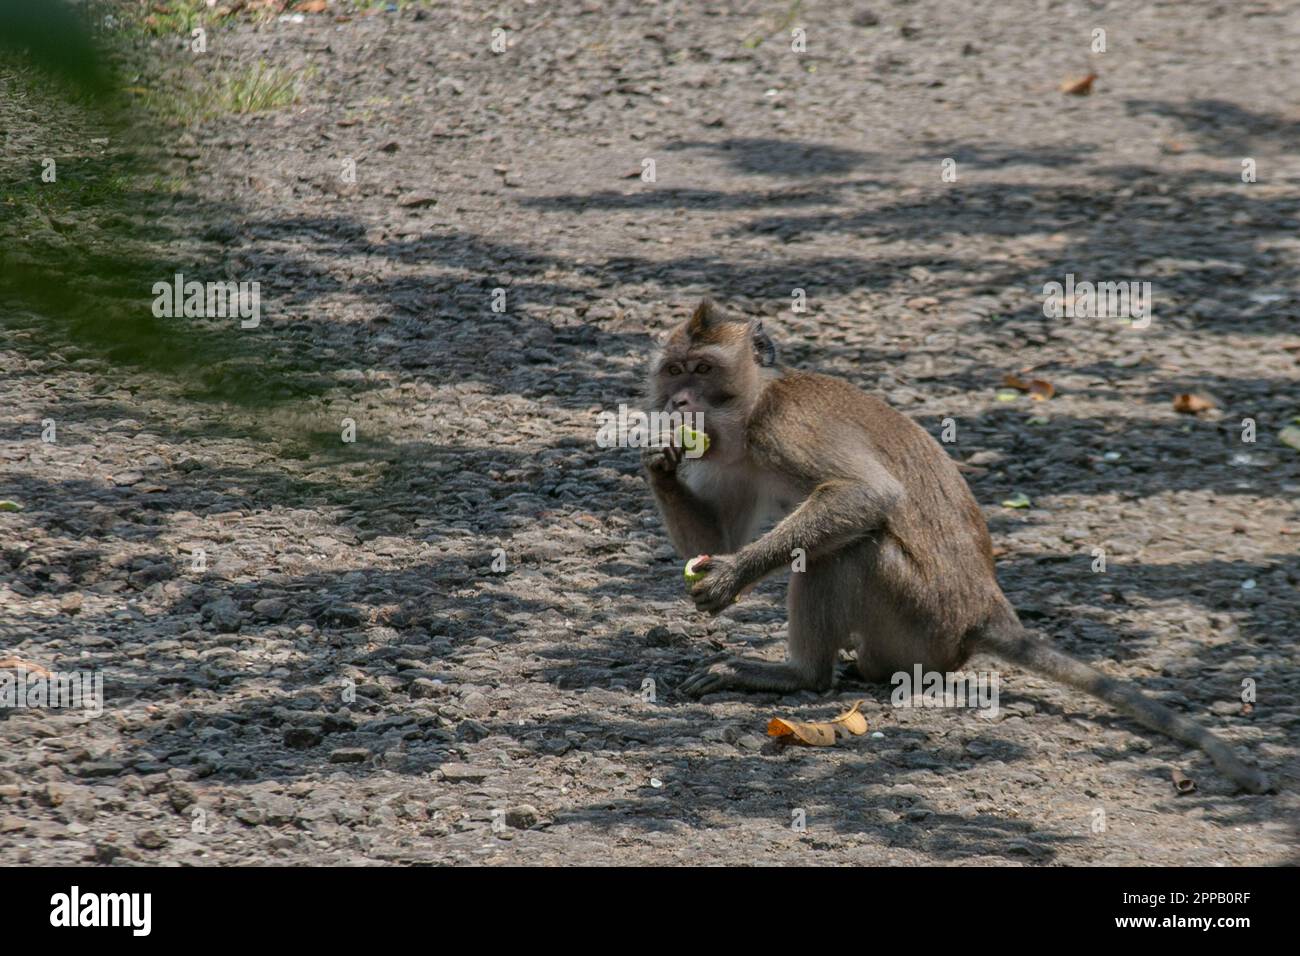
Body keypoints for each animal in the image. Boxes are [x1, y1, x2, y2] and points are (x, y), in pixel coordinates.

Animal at [641, 299, 1271, 794]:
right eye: (674, 371)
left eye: (704, 369)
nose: (678, 404)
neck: (749, 413)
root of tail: (986, 611)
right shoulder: (727, 458)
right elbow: (716, 537)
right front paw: (658, 464)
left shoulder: (784, 427)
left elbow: (867, 496)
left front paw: (731, 577)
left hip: (921, 620)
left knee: (850, 546)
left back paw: (800, 675)